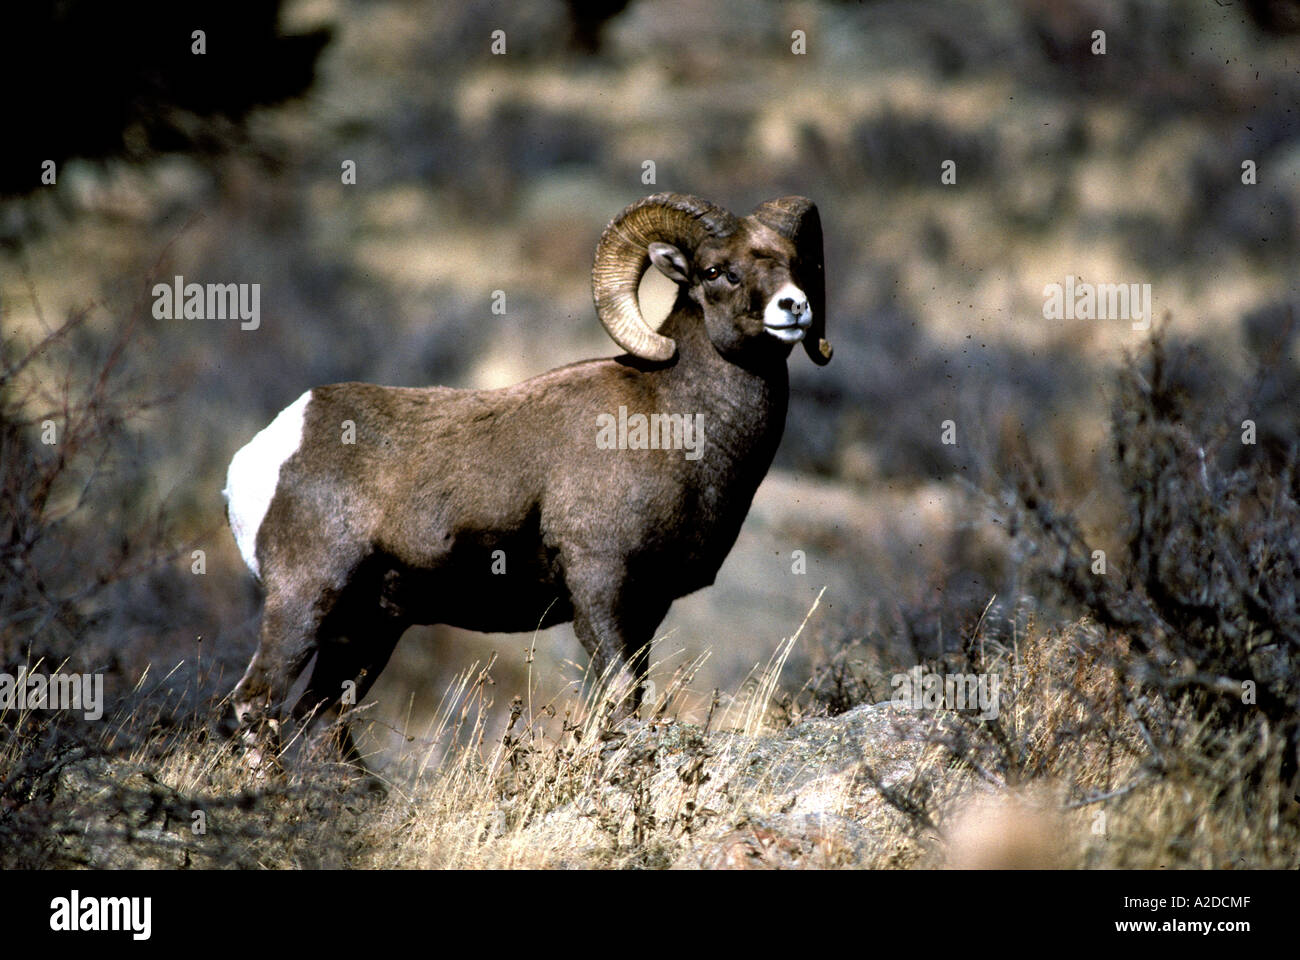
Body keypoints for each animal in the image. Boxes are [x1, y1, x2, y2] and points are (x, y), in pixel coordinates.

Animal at [223, 192, 832, 766]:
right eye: (715, 270)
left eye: (795, 263)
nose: (794, 307)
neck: (673, 416)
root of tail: (262, 453)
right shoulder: (598, 581)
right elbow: (621, 697)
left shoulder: (648, 605)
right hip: (304, 601)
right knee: (257, 704)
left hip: (366, 630)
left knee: (320, 722)